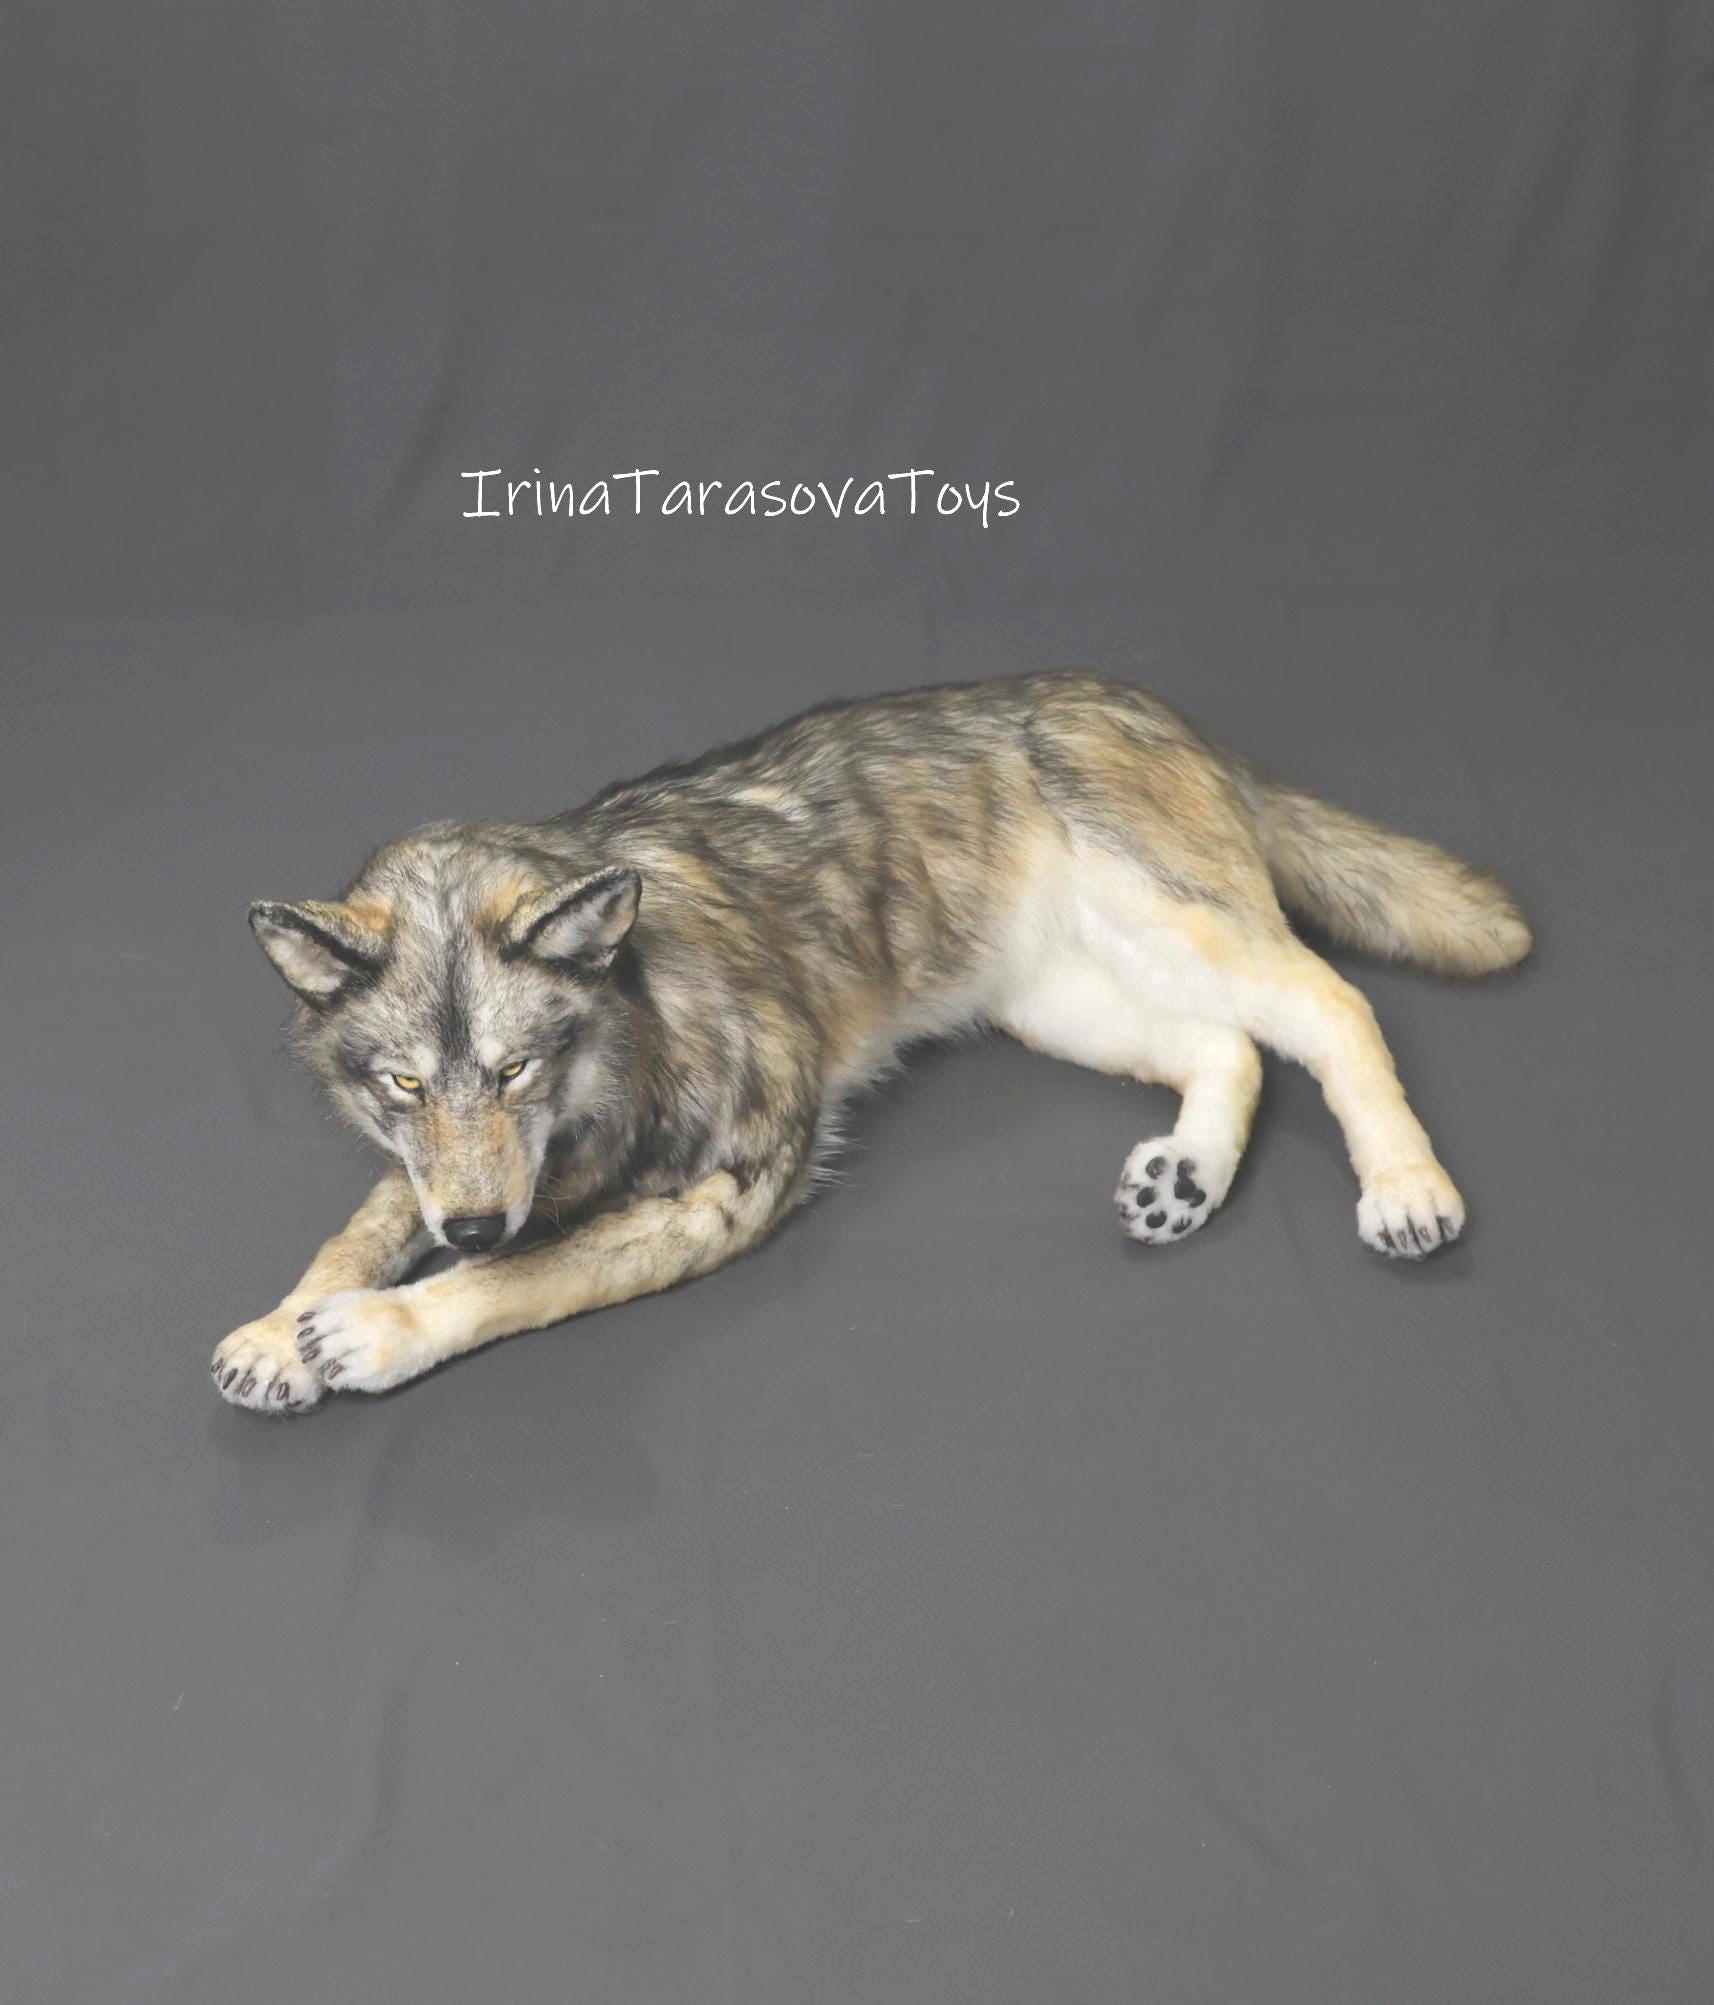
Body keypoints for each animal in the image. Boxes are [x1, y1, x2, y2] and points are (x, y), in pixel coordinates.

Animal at [212, 671, 1530, 1411]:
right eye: (400, 1082)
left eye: (514, 1067)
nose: (480, 1222)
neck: (622, 1034)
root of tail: (1156, 710)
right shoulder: (439, 1175)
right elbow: (365, 1229)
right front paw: (282, 1328)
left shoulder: (725, 1199)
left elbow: (510, 1284)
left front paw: (383, 1328)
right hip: (1058, 995)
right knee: (1230, 1047)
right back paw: (1182, 1180)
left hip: (1178, 920)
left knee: (1332, 1007)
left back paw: (1406, 1186)